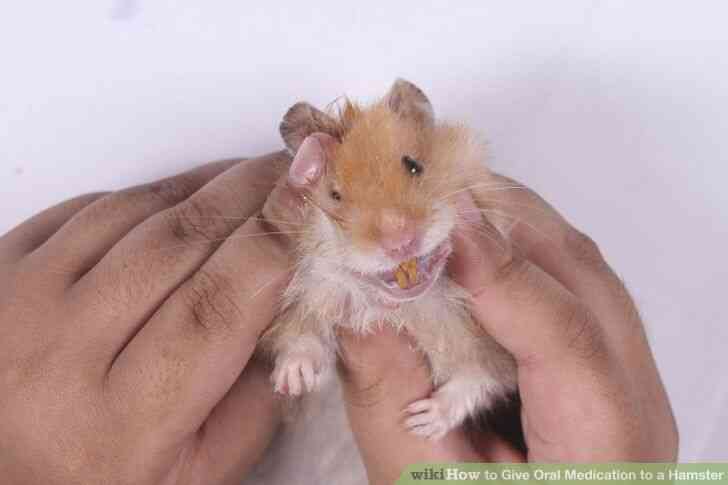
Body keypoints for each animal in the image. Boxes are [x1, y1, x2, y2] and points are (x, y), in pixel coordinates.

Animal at [260, 79, 517, 440]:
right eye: (335, 195)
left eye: (414, 166)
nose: (401, 242)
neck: (396, 308)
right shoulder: (311, 293)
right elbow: (302, 334)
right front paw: (292, 381)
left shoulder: (488, 349)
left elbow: (476, 377)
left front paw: (420, 423)